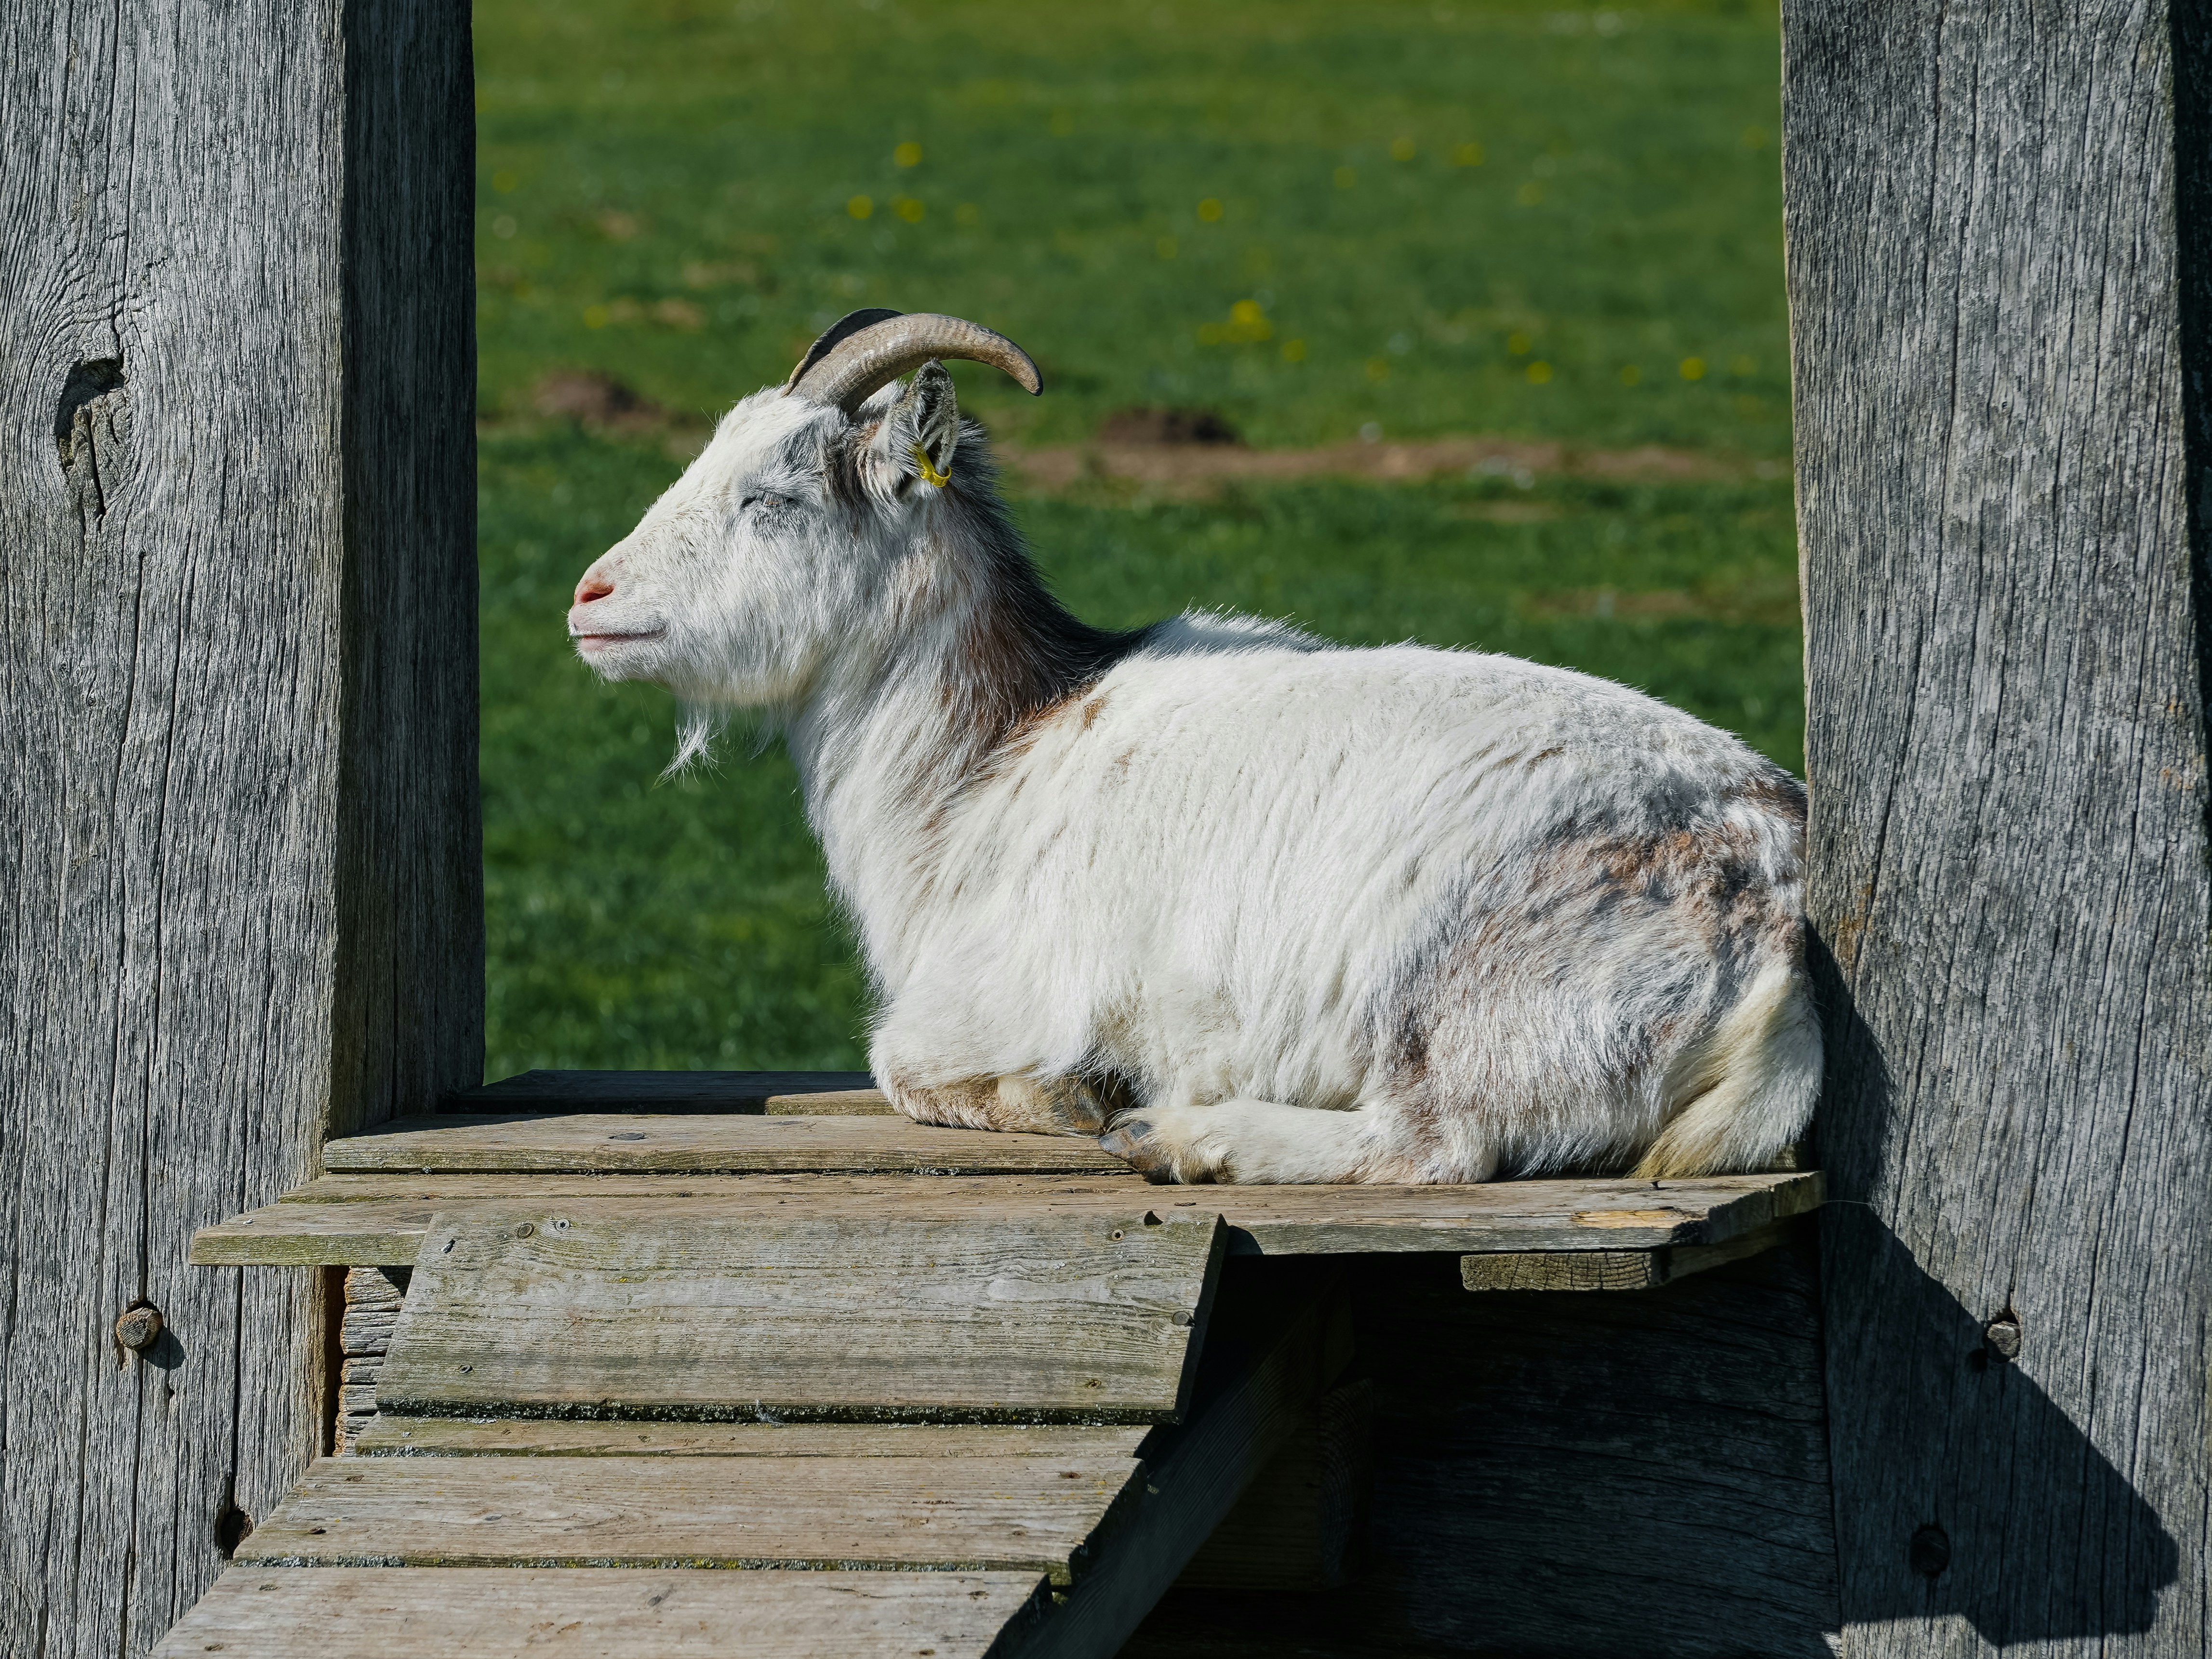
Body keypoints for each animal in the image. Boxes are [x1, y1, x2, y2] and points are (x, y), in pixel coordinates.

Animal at [569, 309, 1821, 1184]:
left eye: (771, 499)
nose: (591, 596)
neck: (994, 760)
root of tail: (1778, 913)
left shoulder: (997, 993)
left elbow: (899, 1065)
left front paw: (1067, 1096)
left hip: (1475, 993)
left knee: (1431, 1143)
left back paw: (1178, 1134)